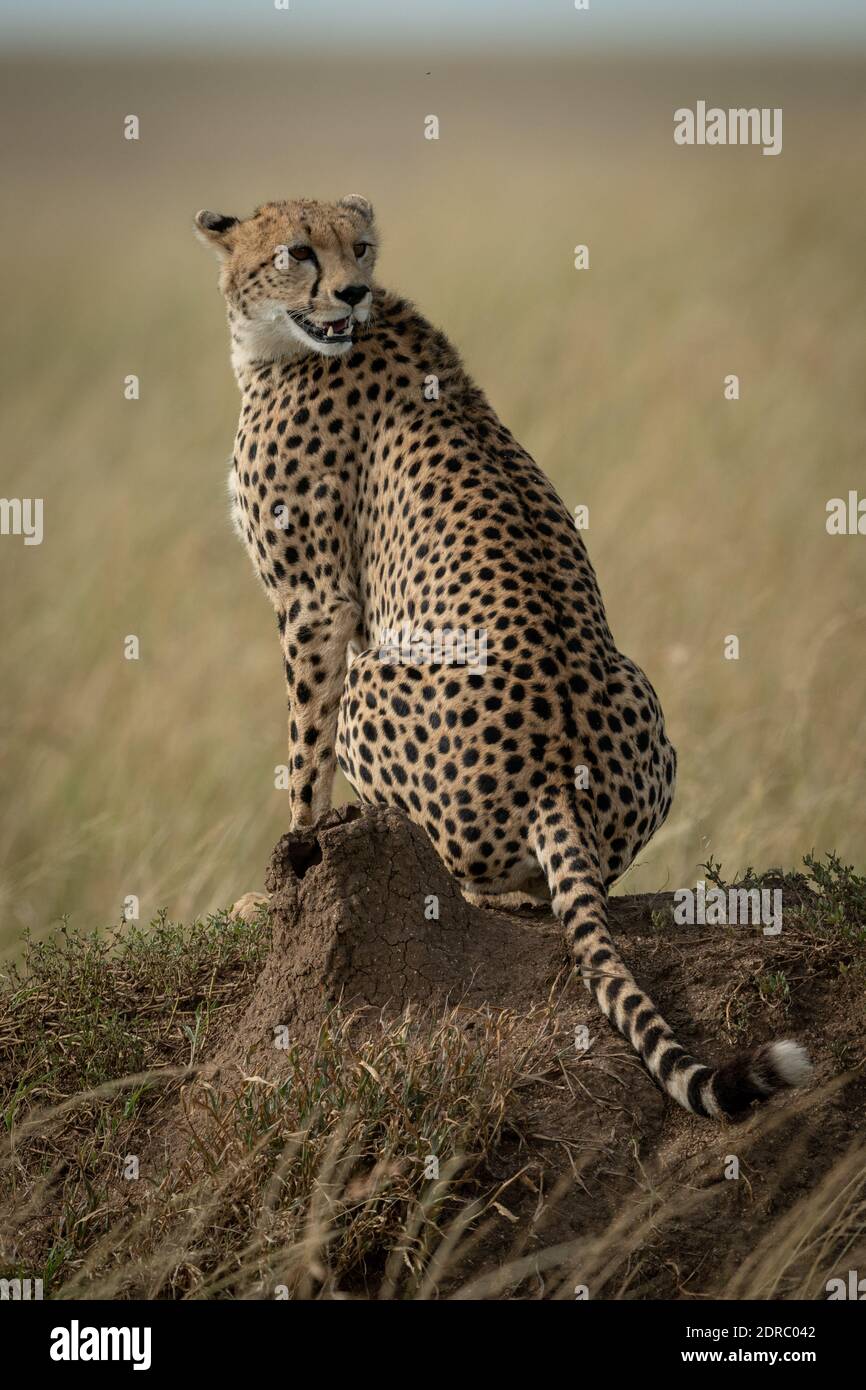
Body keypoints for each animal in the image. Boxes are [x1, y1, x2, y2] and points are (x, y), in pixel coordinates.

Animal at [195, 195, 811, 1119]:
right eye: (298, 251)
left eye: (360, 247)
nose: (350, 291)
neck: (289, 342)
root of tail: (561, 779)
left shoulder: (314, 602)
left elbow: (302, 755)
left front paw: (278, 884)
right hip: (640, 689)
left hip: (378, 679)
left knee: (467, 875)